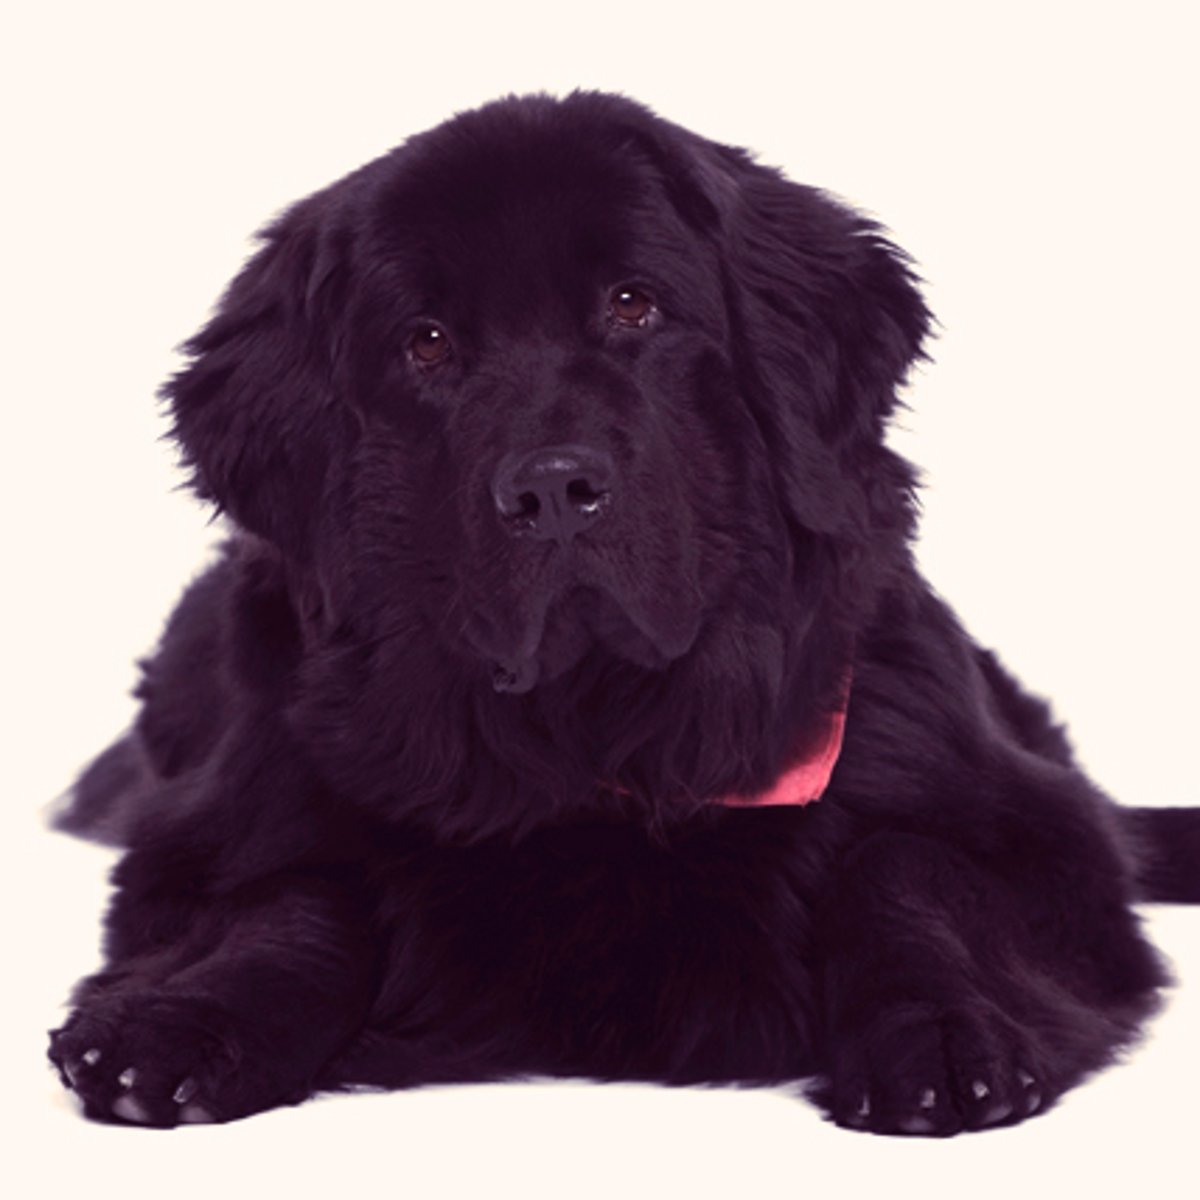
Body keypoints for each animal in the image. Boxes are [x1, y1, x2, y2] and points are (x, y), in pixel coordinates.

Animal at [48, 91, 1199, 1136]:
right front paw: (175, 1022)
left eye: (635, 304)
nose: (553, 489)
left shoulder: (1041, 839)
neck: (598, 744)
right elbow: (291, 895)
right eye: (426, 344)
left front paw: (945, 1033)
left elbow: (905, 868)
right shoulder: (222, 823)